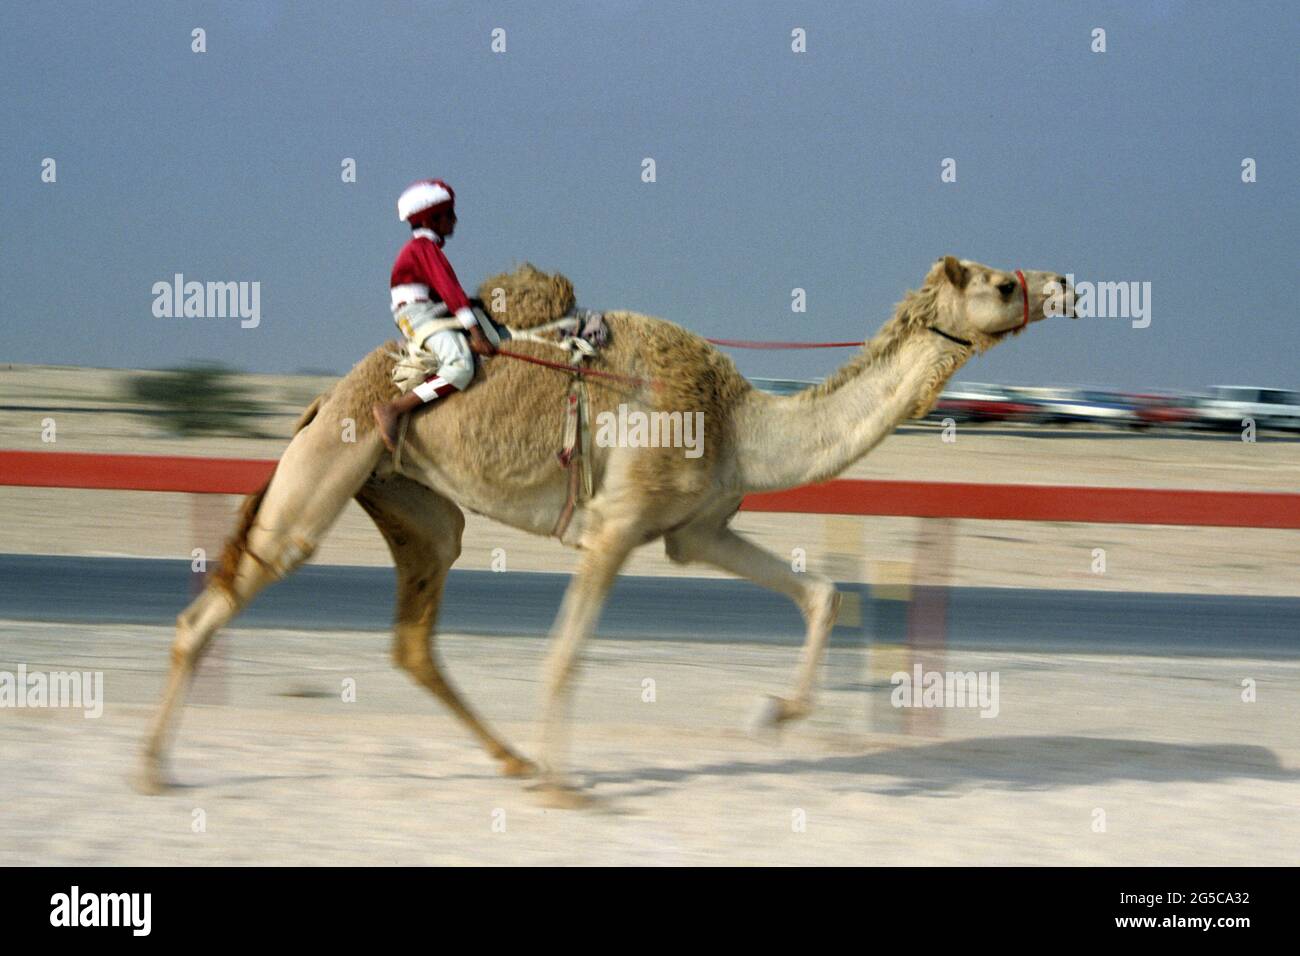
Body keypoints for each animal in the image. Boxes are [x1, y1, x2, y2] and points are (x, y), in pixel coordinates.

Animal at [138, 256, 1074, 800]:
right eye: (1000, 283)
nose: (1064, 282)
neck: (739, 424)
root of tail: (321, 398)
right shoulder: (615, 528)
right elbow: (566, 655)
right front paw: (566, 786)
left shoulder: (698, 529)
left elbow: (823, 594)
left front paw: (772, 716)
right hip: (327, 468)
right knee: (215, 603)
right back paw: (152, 770)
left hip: (414, 505)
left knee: (412, 637)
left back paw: (511, 760)